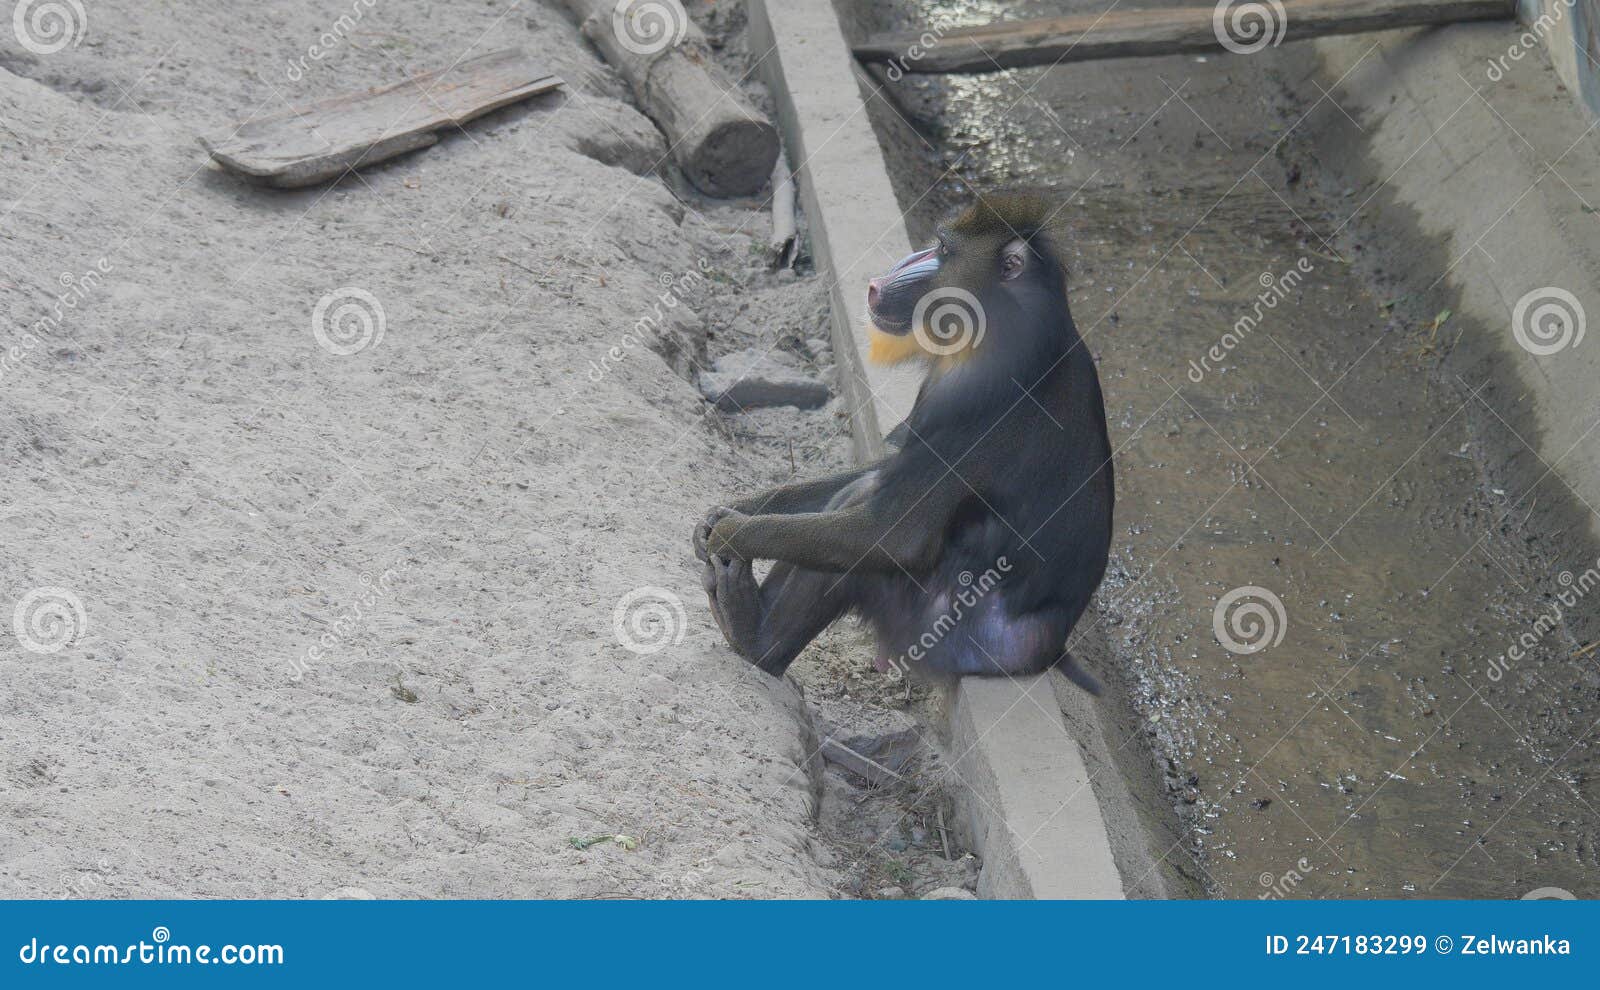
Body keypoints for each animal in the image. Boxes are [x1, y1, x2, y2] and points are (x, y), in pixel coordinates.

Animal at [692, 193, 1113, 688]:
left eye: (944, 250)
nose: (878, 283)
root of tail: (1043, 650)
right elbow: (886, 465)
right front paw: (731, 510)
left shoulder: (974, 402)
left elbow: (894, 535)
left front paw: (734, 533)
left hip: (934, 628)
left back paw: (753, 638)